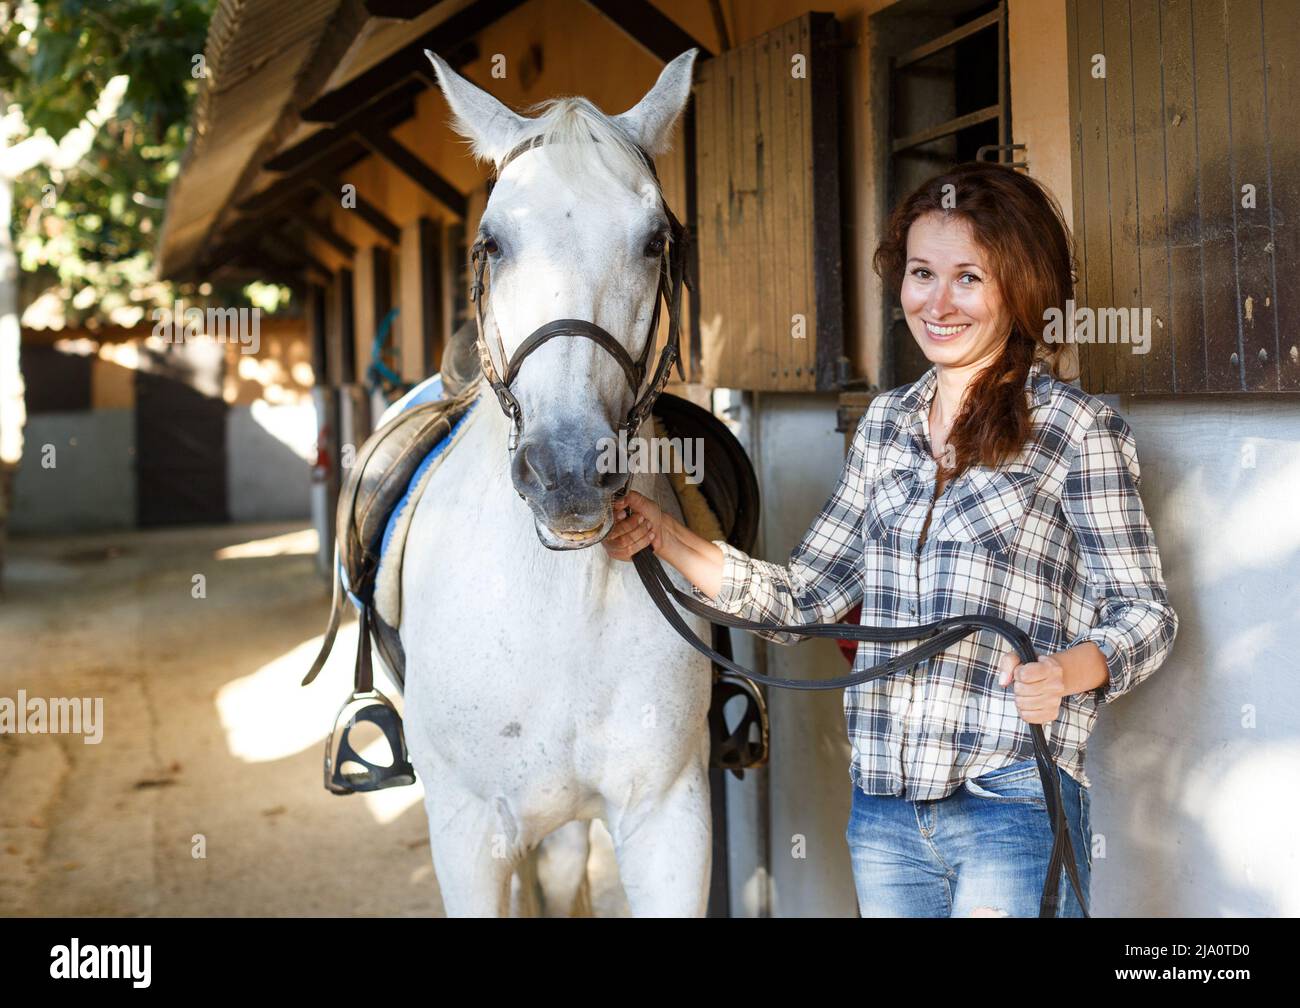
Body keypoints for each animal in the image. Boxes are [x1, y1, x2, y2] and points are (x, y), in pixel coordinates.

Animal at [400, 49, 714, 916]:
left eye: (654, 241)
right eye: (492, 242)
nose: (568, 469)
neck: (560, 602)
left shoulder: (668, 815)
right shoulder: (469, 835)